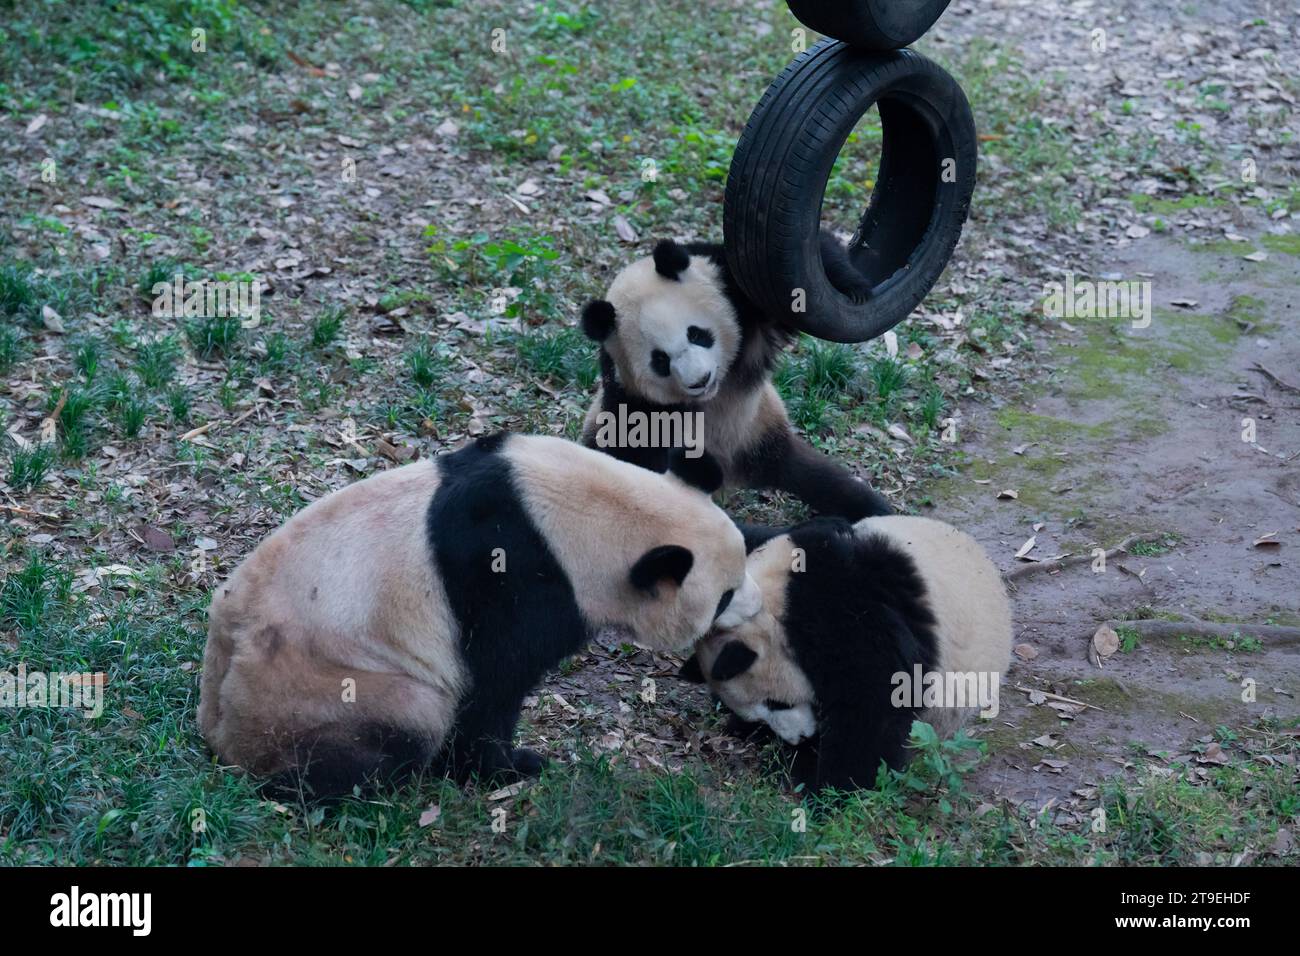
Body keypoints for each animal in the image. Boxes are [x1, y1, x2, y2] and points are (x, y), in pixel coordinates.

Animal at [198, 432, 762, 797]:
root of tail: (218, 731)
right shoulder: (511, 578)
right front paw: (509, 768)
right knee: (407, 715)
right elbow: (492, 683)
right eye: (725, 596)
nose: (756, 605)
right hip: (315, 688)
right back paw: (361, 781)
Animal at [579, 236, 892, 521]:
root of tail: (734, 475)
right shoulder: (632, 399)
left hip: (762, 433)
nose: (701, 379)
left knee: (823, 480)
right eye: (660, 361)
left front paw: (856, 289)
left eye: (696, 334)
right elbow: (635, 454)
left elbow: (790, 272)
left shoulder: (737, 296)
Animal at [679, 514, 1012, 793]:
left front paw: (834, 789)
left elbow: (874, 703)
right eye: (767, 709)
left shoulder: (845, 612)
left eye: (776, 702)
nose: (798, 738)